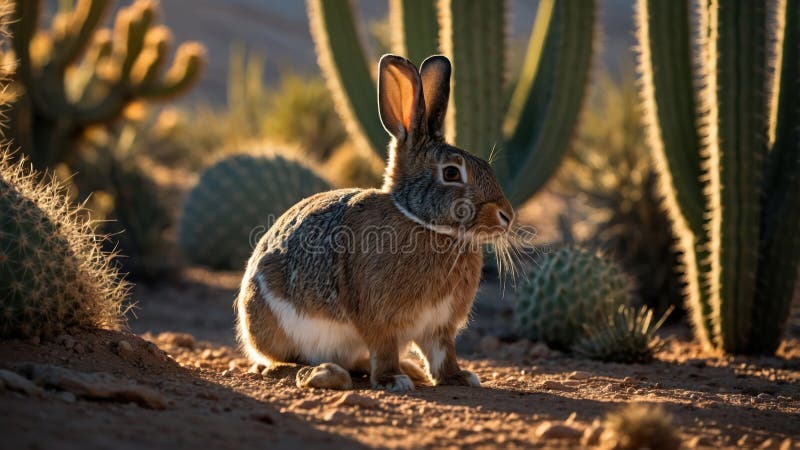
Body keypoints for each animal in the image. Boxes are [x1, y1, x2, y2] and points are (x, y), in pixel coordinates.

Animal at [235, 54, 515, 393]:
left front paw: (459, 377)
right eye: (451, 173)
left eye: (486, 165)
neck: (422, 222)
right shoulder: (377, 319)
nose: (507, 216)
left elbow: (443, 353)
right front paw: (393, 380)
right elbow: (383, 349)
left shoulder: (439, 326)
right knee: (280, 361)